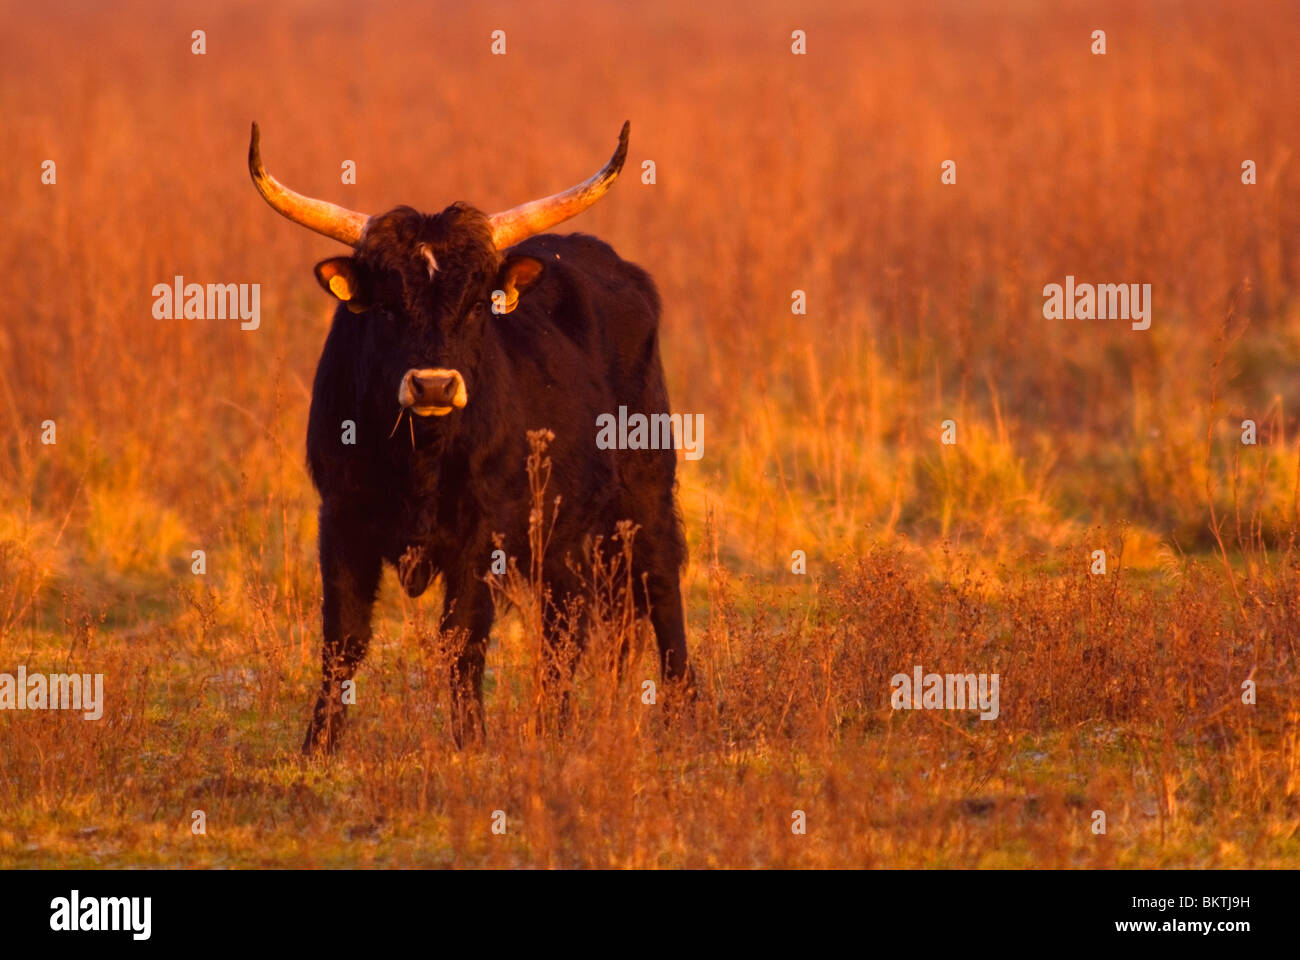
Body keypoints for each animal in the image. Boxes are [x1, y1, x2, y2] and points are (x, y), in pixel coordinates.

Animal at [247, 122, 692, 753]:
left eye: (479, 304)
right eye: (386, 306)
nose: (433, 384)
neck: (420, 456)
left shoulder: (485, 532)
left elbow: (461, 637)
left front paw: (471, 741)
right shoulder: (340, 516)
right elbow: (343, 639)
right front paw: (318, 746)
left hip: (645, 493)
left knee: (661, 588)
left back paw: (685, 717)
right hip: (563, 534)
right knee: (565, 626)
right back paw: (553, 729)